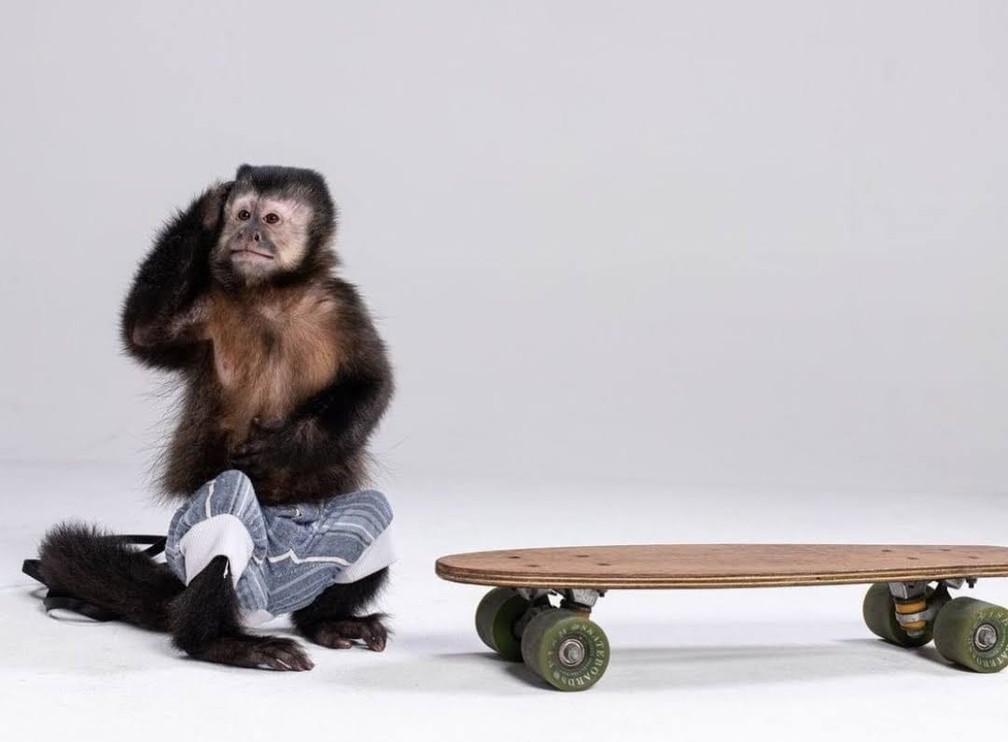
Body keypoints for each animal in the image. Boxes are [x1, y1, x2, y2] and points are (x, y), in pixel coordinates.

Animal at [35, 165, 395, 671]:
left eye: (271, 218)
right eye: (241, 214)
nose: (249, 233)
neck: (271, 294)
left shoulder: (341, 305)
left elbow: (371, 383)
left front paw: (286, 446)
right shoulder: (208, 305)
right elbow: (143, 332)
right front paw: (204, 210)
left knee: (372, 512)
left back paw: (326, 622)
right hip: (201, 557)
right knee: (228, 507)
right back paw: (220, 641)